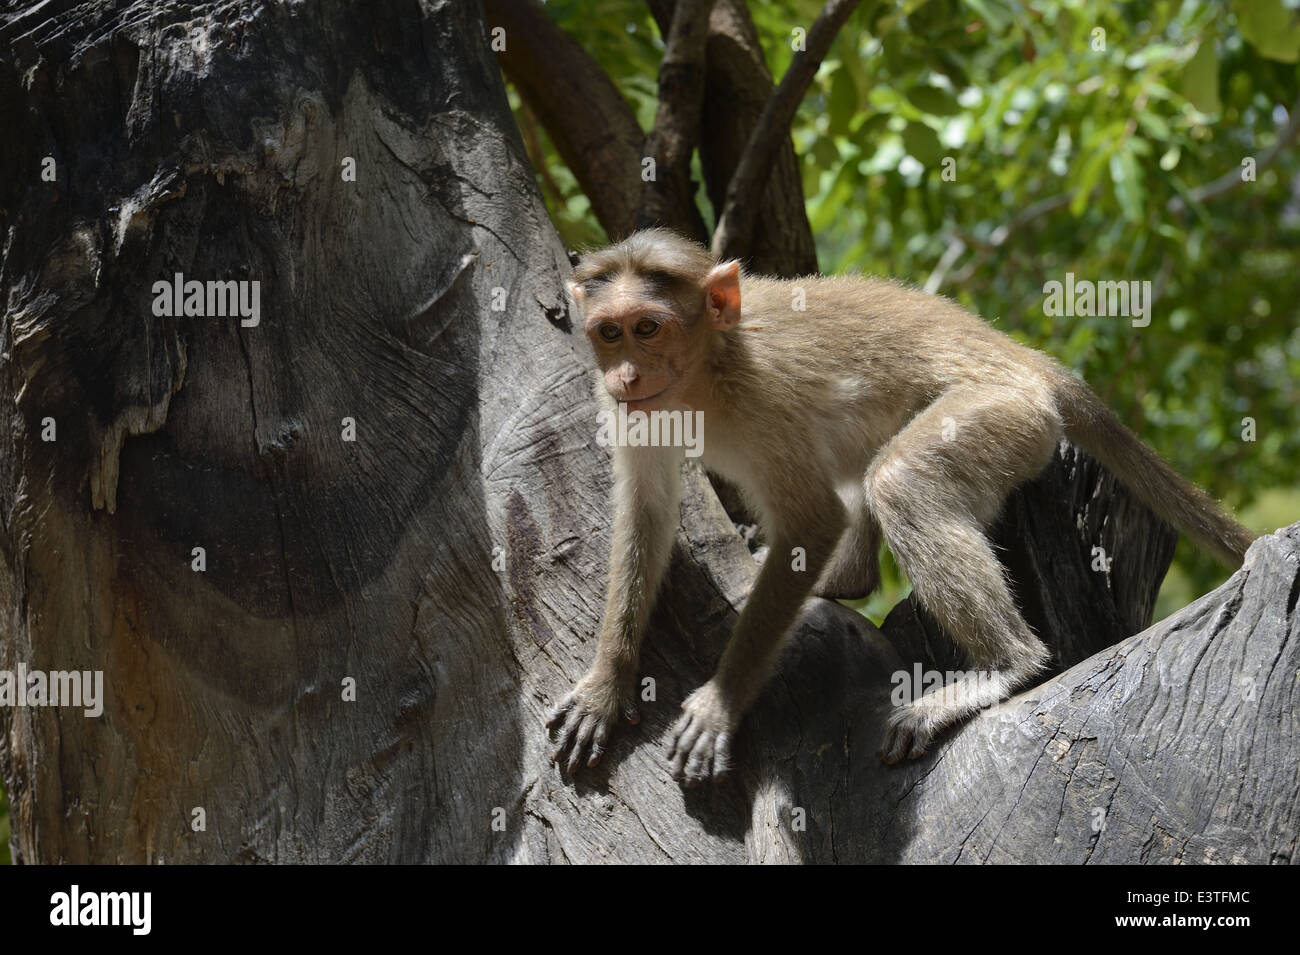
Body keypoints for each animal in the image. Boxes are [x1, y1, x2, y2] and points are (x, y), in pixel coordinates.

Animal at [546, 227, 1255, 784]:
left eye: (648, 327)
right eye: (609, 333)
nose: (626, 376)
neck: (705, 370)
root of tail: (1033, 364)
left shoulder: (762, 397)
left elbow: (813, 521)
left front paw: (722, 700)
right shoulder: (633, 413)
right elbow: (645, 513)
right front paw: (607, 682)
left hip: (1007, 414)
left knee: (898, 479)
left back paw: (1006, 667)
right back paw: (846, 580)